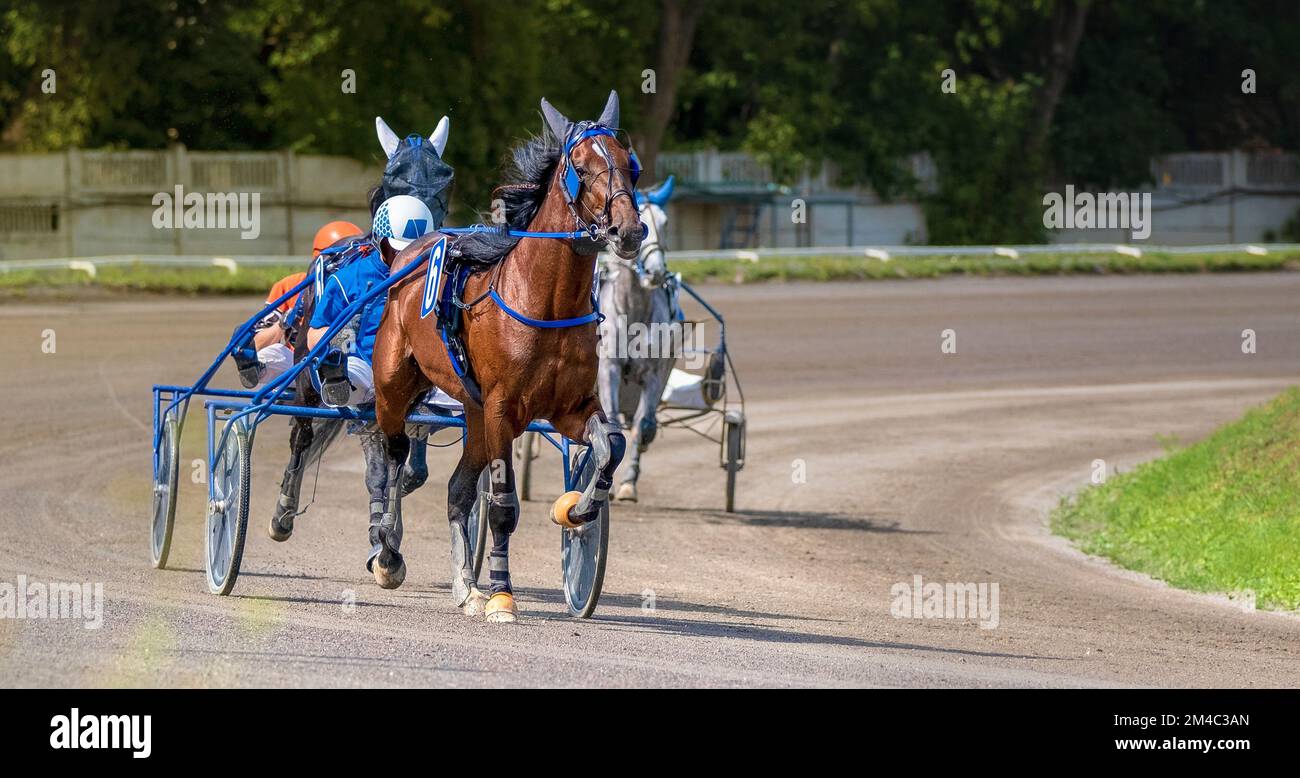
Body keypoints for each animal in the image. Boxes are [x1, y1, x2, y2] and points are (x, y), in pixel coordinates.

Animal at [266, 115, 453, 544]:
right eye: (393, 175)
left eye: (444, 177)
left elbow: (409, 460)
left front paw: (390, 523)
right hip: (306, 372)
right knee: (302, 432)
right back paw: (284, 512)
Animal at [368, 90, 643, 623]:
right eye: (581, 167)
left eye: (630, 166)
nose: (629, 230)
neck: (546, 300)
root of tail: (407, 252)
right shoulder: (502, 410)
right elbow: (501, 507)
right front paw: (501, 595)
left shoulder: (570, 407)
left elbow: (611, 447)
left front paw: (577, 511)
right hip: (397, 386)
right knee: (392, 453)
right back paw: (388, 553)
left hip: (474, 414)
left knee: (456, 491)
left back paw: (465, 587)